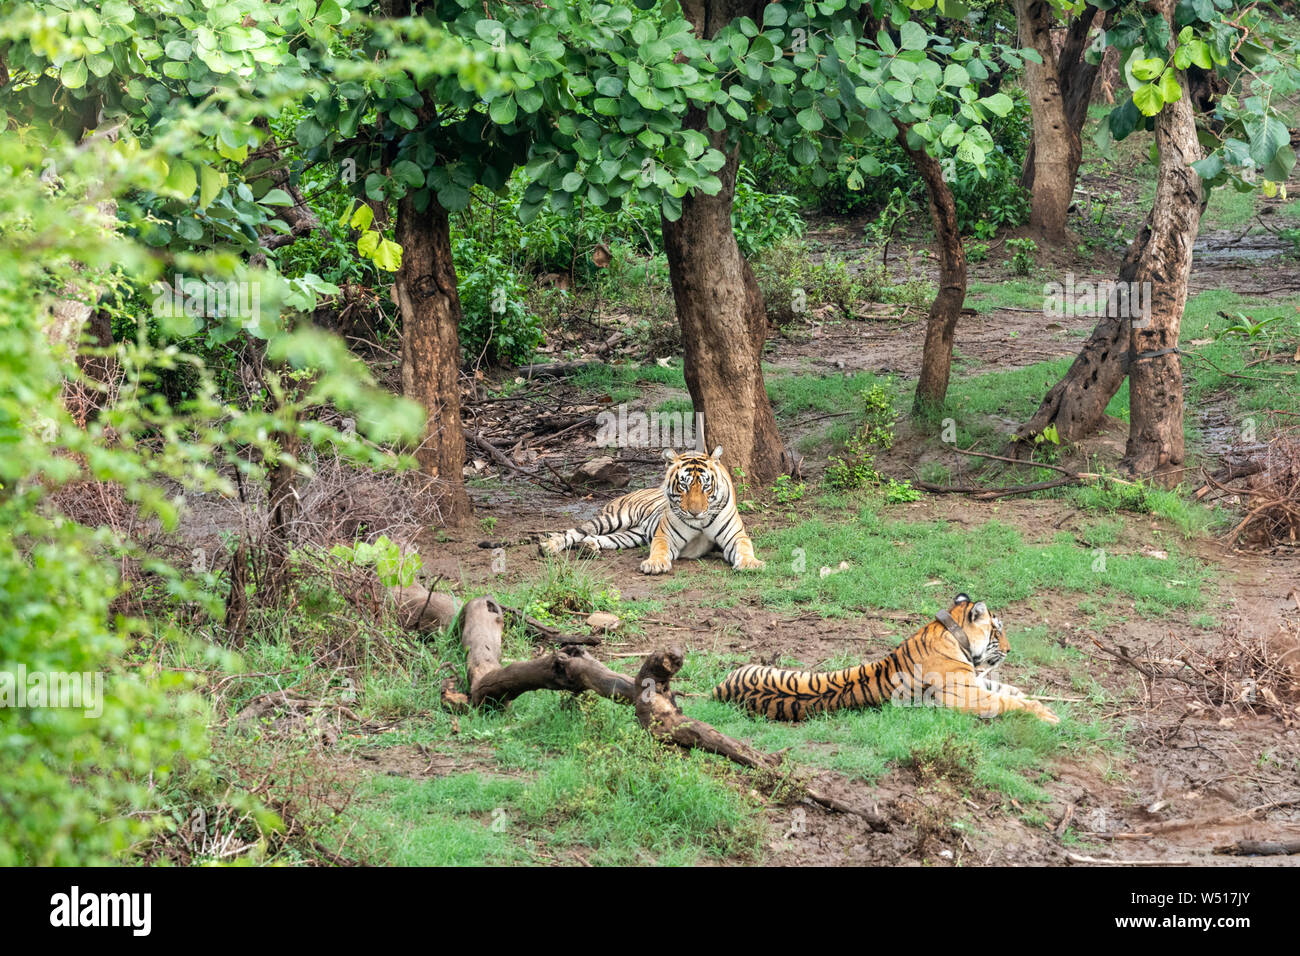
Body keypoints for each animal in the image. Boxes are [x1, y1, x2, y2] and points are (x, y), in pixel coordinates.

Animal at [540, 446, 764, 576]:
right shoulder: (665, 536)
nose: (695, 513)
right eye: (684, 485)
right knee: (574, 532)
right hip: (614, 518)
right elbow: (660, 549)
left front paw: (751, 563)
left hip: (632, 535)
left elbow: (745, 547)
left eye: (706, 486)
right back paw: (549, 546)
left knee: (601, 538)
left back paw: (588, 547)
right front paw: (655, 564)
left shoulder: (736, 536)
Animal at [711, 595, 1059, 723]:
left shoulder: (974, 682)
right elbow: (1005, 701)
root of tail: (719, 689)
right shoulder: (965, 696)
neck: (948, 632)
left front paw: (1032, 697)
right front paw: (1046, 714)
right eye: (997, 631)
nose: (1010, 650)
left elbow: (1005, 690)